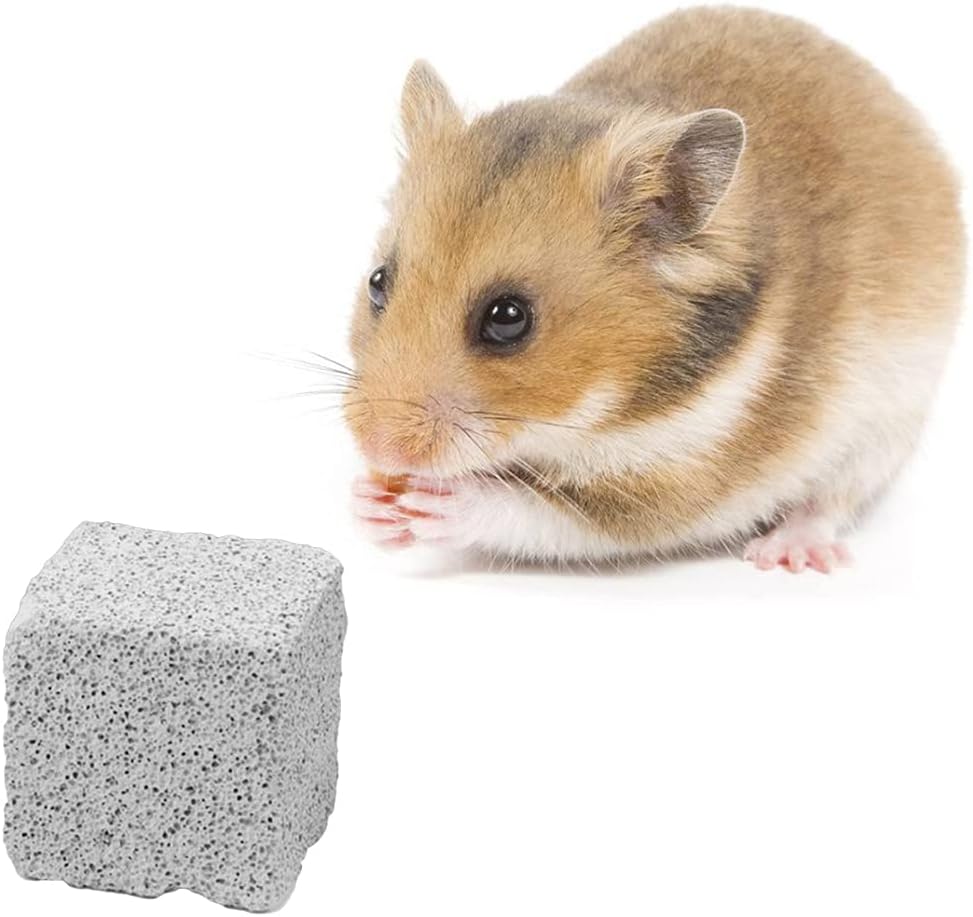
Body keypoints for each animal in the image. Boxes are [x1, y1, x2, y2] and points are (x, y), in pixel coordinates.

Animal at [342, 7, 964, 572]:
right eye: (377, 282)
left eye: (508, 318)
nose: (378, 448)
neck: (611, 410)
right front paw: (367, 504)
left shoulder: (666, 484)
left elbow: (534, 511)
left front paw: (438, 504)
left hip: (888, 424)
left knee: (832, 500)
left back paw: (785, 553)